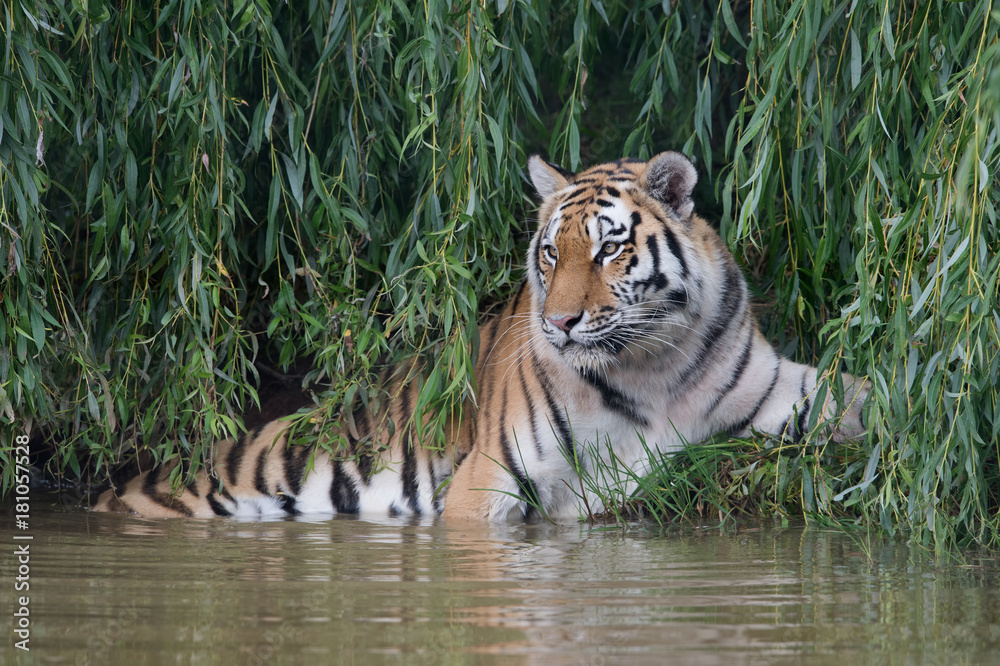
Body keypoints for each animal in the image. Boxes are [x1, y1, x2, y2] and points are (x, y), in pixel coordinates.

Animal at [93, 150, 869, 521]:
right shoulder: (487, 481)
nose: (559, 322)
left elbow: (859, 394)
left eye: (608, 249)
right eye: (551, 254)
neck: (652, 366)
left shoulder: (773, 385)